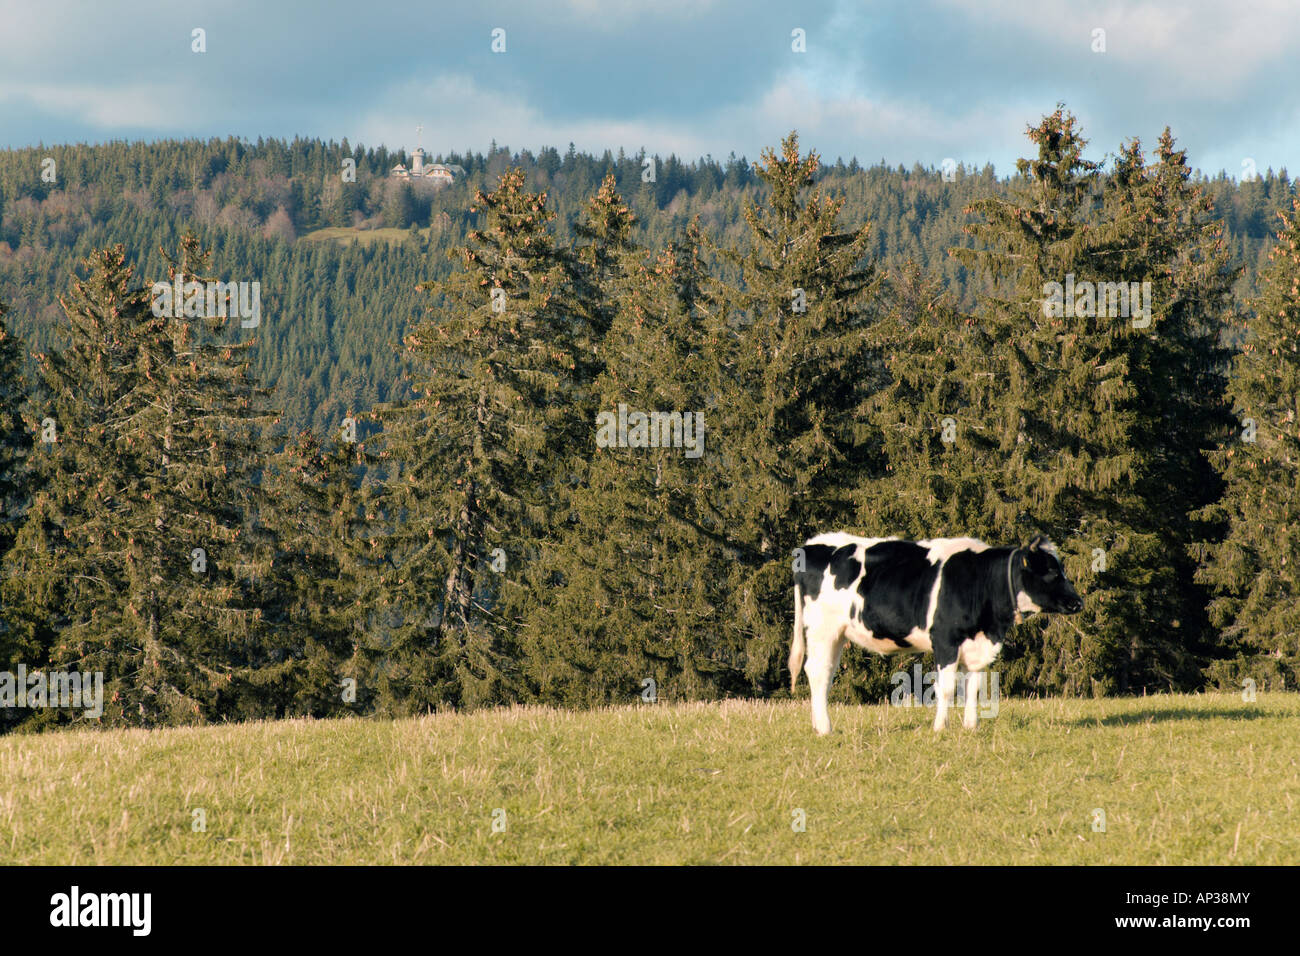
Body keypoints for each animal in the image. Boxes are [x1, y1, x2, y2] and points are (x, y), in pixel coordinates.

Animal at [788, 533, 1083, 733]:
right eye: (1050, 572)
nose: (1078, 602)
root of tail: (811, 545)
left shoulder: (977, 645)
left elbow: (973, 687)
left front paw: (971, 726)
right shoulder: (945, 640)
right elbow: (947, 687)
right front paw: (941, 727)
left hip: (836, 634)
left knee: (824, 674)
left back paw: (817, 723)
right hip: (822, 629)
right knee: (818, 672)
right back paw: (825, 728)